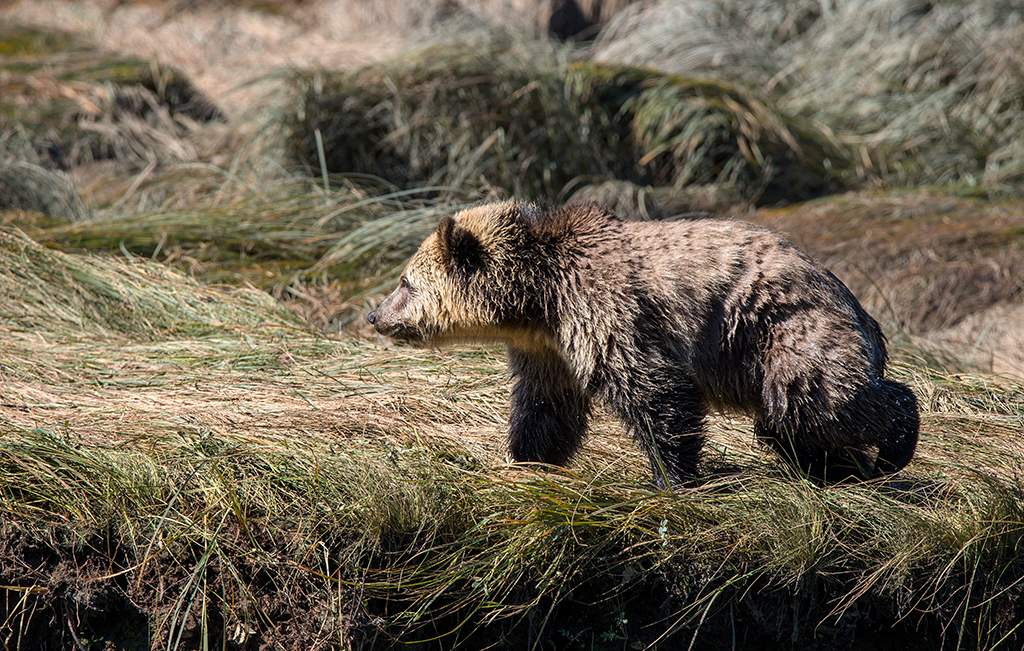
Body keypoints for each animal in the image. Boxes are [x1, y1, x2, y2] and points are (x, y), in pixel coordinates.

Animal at [367, 200, 919, 485]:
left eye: (405, 282)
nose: (375, 315)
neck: (539, 299)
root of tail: (860, 307)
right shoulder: (548, 348)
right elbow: (547, 406)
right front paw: (526, 458)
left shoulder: (608, 310)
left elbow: (654, 390)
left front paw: (672, 477)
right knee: (789, 425)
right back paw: (836, 468)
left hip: (780, 330)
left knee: (819, 400)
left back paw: (894, 443)